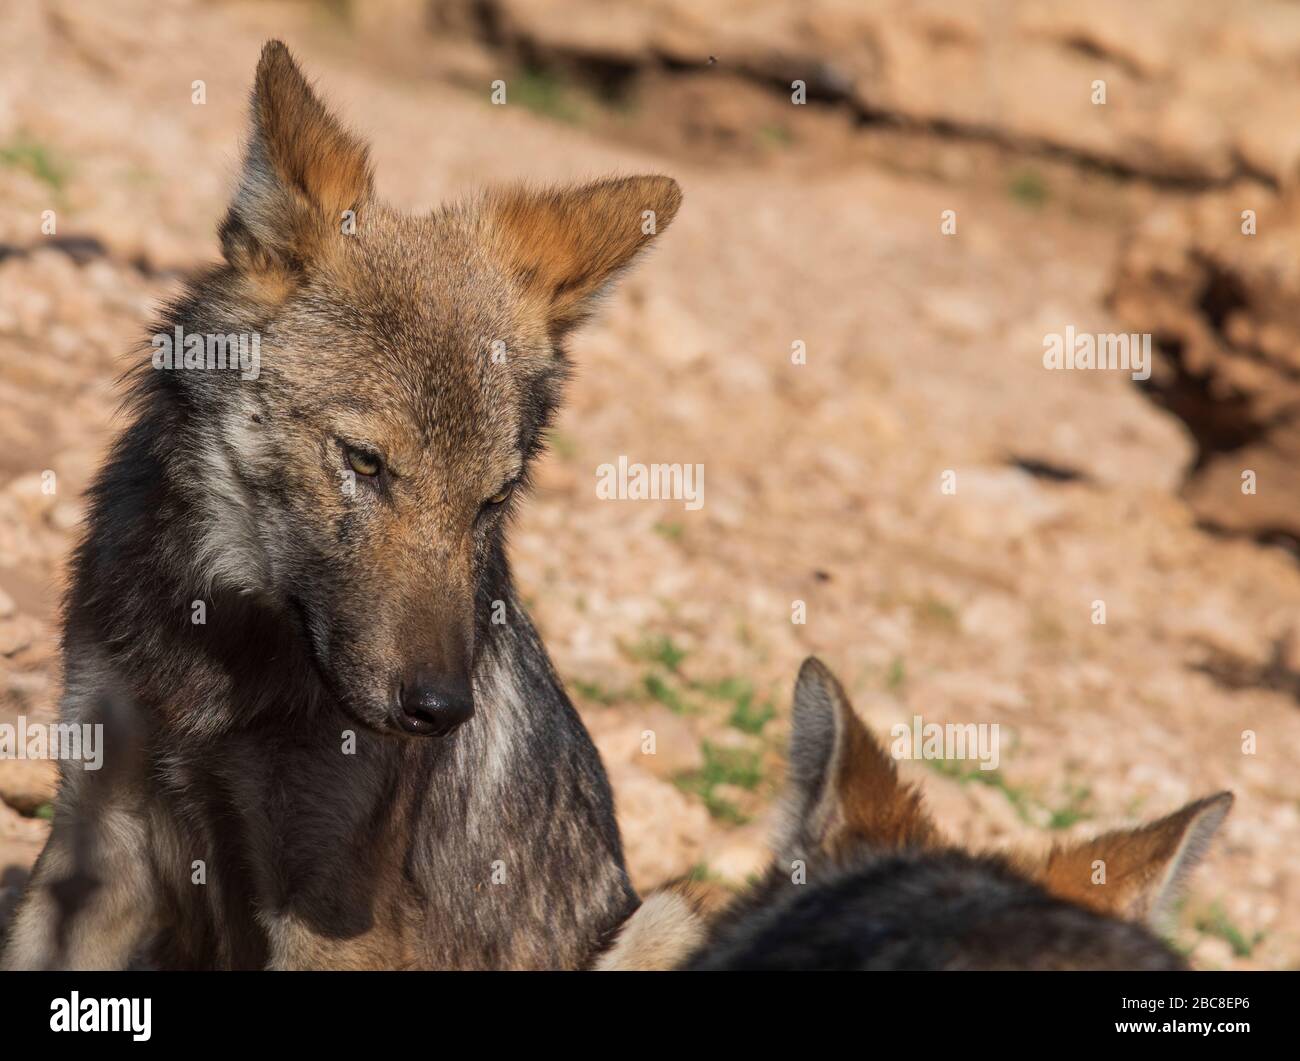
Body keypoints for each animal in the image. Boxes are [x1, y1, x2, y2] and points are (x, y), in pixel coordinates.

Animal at [3, 40, 681, 970]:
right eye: (365, 462)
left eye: (492, 499)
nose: (441, 709)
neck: (222, 658)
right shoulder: (96, 836)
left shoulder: (329, 910)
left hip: (665, 918)